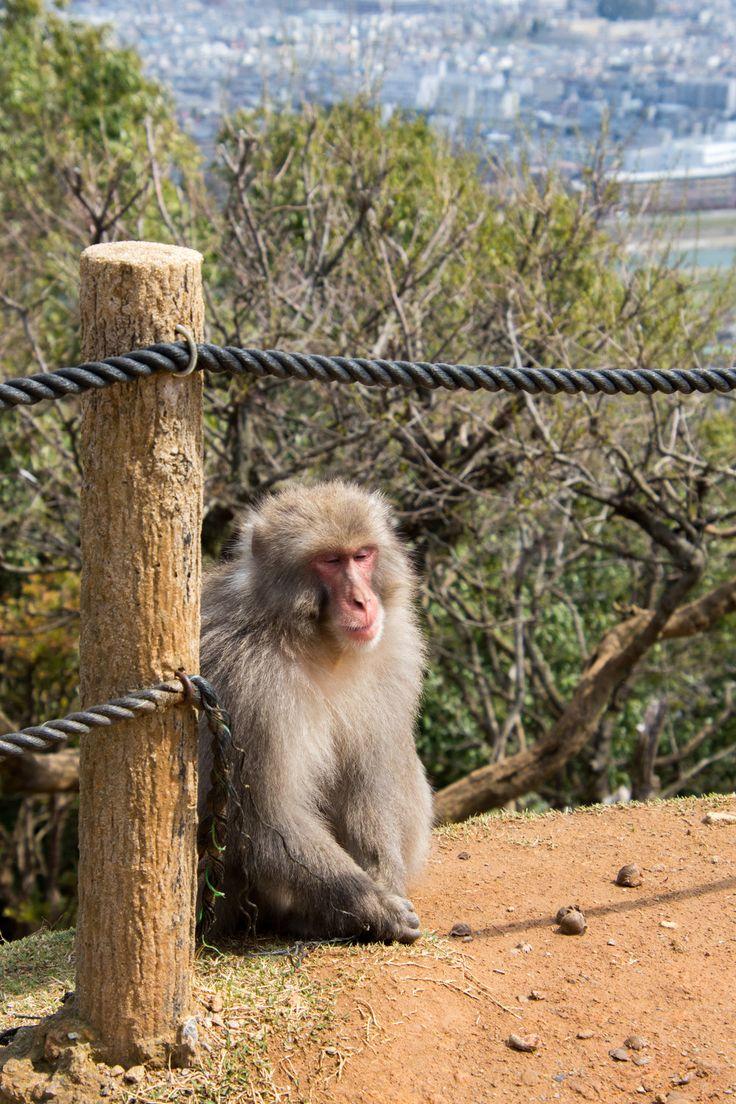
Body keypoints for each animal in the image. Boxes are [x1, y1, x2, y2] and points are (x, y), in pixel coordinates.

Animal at [198, 480, 433, 944]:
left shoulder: (396, 649)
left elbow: (370, 778)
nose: (362, 601)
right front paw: (374, 906)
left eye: (362, 555)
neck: (317, 642)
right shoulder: (248, 685)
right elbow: (267, 816)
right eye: (330, 560)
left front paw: (386, 878)